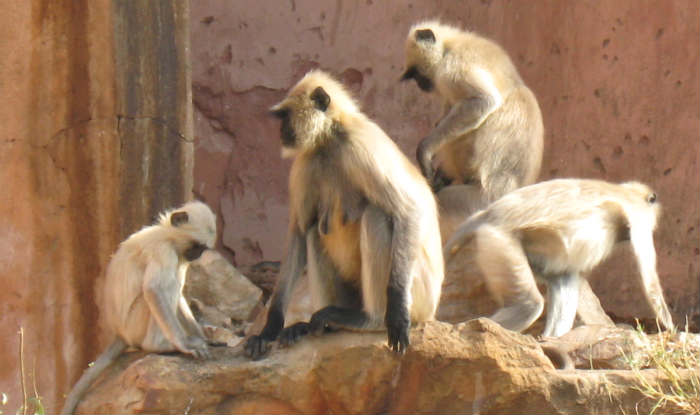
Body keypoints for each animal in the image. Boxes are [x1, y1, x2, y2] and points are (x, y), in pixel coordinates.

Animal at [61, 201, 217, 414]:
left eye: (202, 249)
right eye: (196, 246)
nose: (197, 255)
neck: (165, 234)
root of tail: (120, 333)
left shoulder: (179, 256)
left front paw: (202, 336)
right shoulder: (163, 250)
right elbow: (154, 289)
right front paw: (185, 344)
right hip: (135, 324)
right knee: (163, 287)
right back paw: (158, 345)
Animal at [244, 70, 444, 360]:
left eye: (284, 116)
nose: (280, 132)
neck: (329, 141)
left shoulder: (359, 144)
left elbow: (410, 209)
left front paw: (396, 315)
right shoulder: (306, 161)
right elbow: (299, 231)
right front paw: (269, 330)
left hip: (420, 297)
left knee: (377, 214)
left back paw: (372, 319)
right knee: (313, 232)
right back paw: (320, 325)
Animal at [401, 21, 544, 241]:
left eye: (416, 74)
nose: (419, 83)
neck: (450, 45)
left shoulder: (452, 67)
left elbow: (481, 102)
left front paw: (424, 150)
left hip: (478, 202)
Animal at [443, 178, 674, 338]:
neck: (625, 192)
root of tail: (489, 214)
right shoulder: (639, 214)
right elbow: (650, 283)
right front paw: (672, 331)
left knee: (563, 277)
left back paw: (551, 340)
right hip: (499, 241)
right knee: (529, 305)